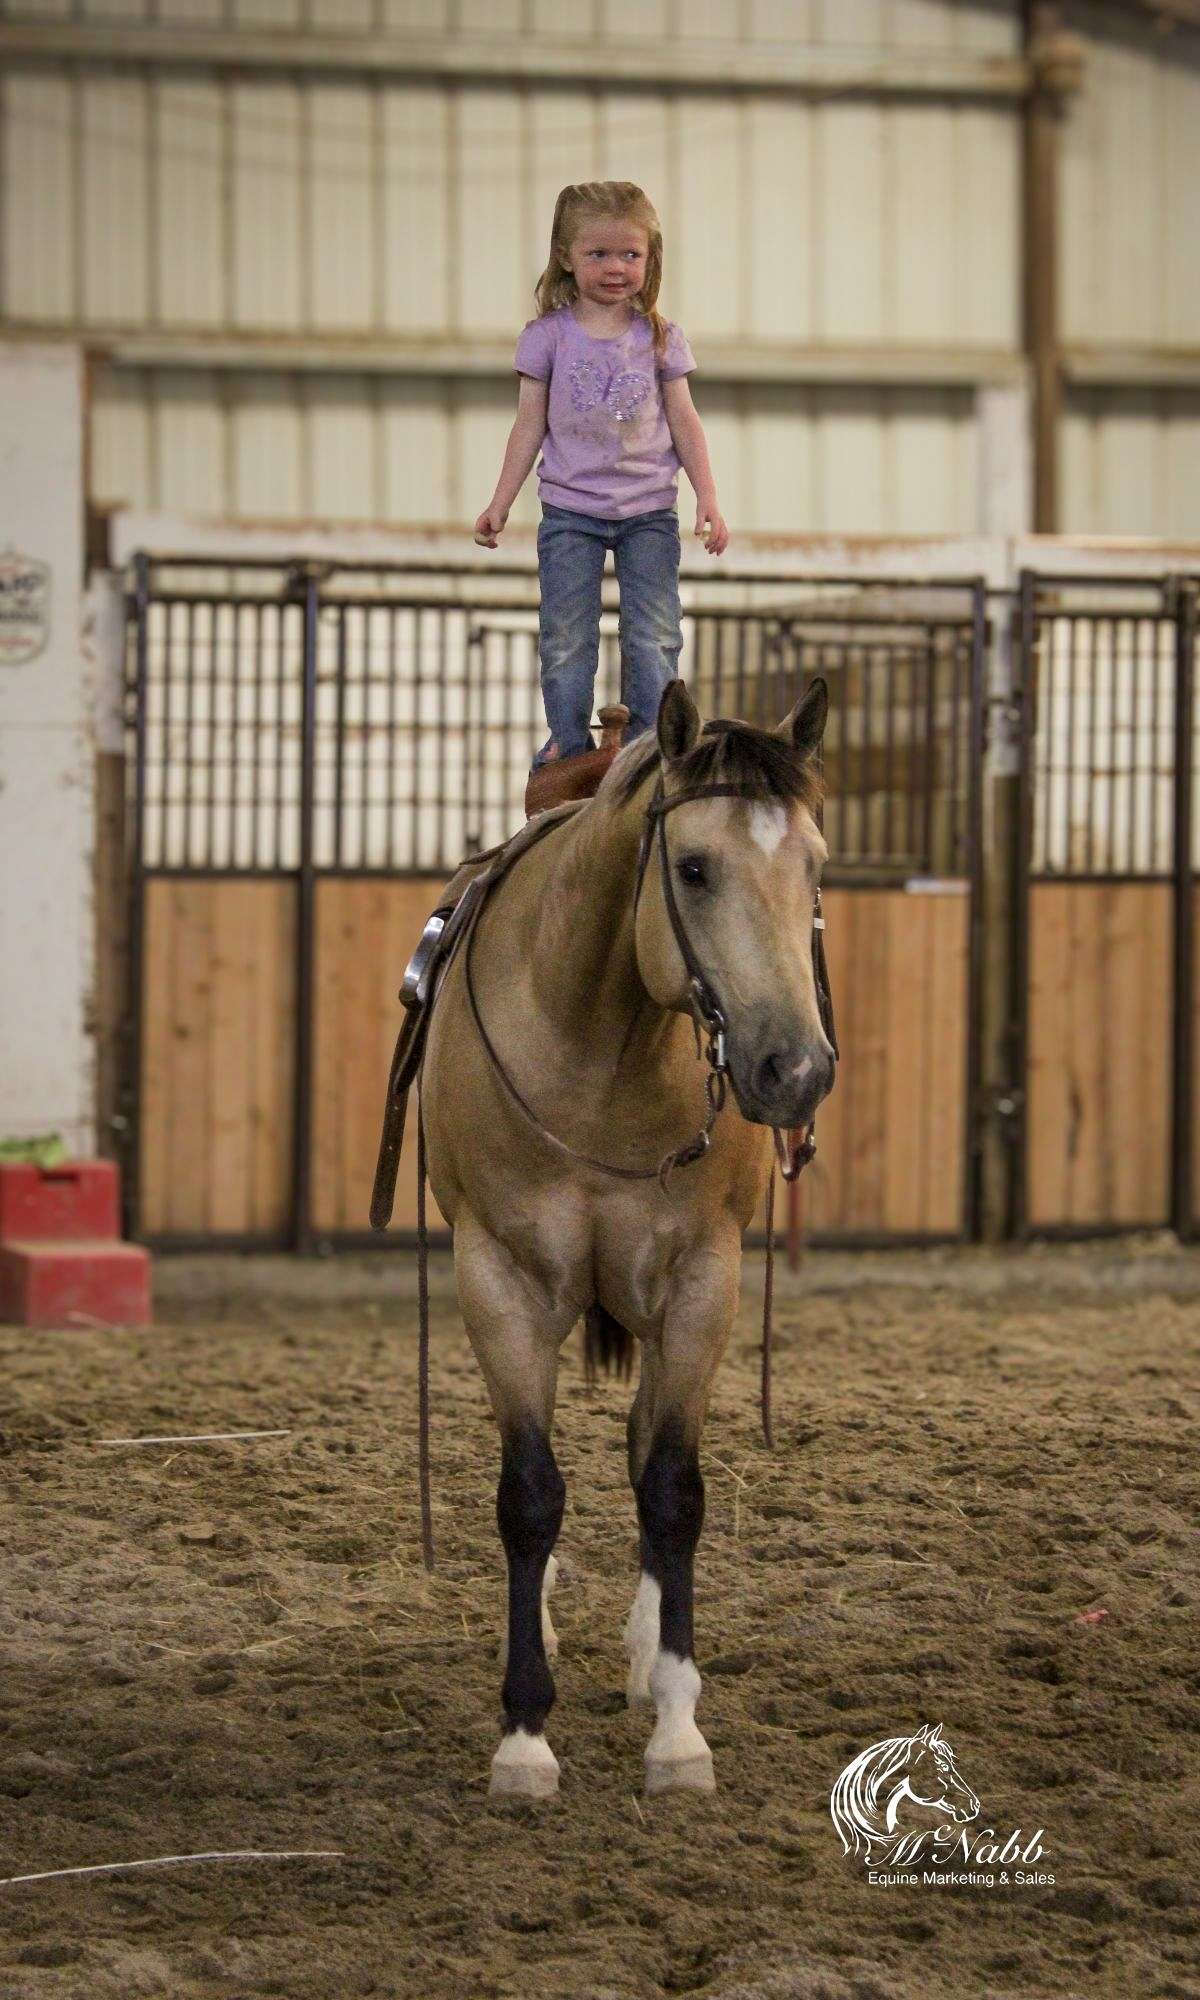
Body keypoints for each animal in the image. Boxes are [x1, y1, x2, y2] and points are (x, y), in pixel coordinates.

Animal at [419, 676, 835, 1799]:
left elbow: (673, 1487)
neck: (600, 1045)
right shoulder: (501, 1281)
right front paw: (524, 1731)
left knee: (648, 1439)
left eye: (815, 863)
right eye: (692, 867)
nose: (795, 1069)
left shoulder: (703, 1284)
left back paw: (650, 1655)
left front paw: (680, 1728)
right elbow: (529, 1492)